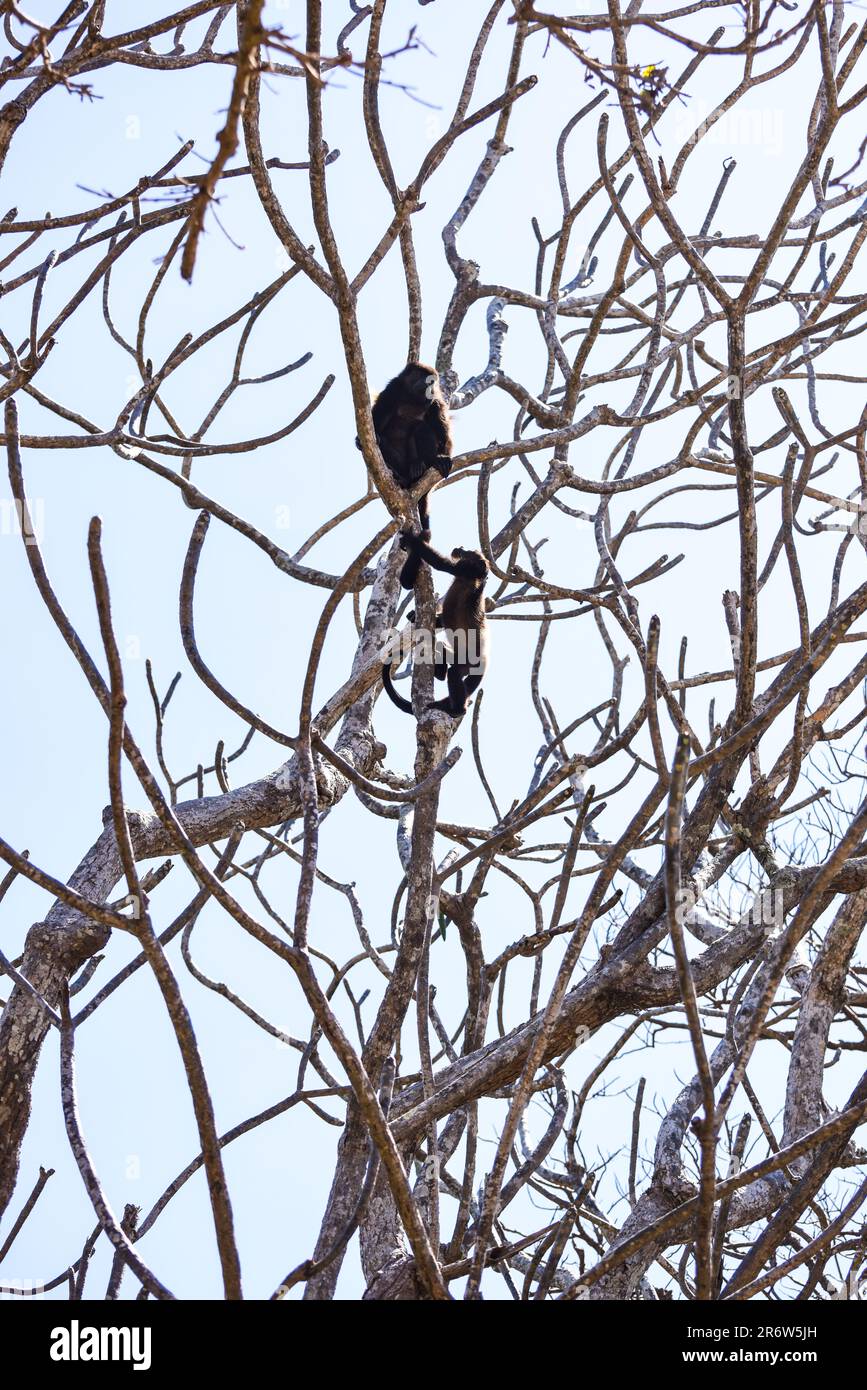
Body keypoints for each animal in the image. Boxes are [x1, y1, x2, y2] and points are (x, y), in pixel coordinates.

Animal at [357, 363, 453, 538]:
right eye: (422, 376)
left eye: (432, 381)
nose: (430, 385)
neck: (412, 399)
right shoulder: (392, 389)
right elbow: (375, 419)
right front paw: (359, 440)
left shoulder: (435, 401)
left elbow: (444, 436)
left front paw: (442, 458)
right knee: (382, 443)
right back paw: (400, 477)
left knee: (423, 428)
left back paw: (421, 466)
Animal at [381, 530, 489, 718]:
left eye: (468, 552)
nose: (461, 548)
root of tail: (484, 660)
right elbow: (442, 620)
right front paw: (413, 615)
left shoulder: (464, 569)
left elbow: (439, 562)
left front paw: (413, 539)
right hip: (457, 655)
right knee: (442, 648)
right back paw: (440, 673)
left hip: (470, 661)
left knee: (455, 674)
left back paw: (456, 710)